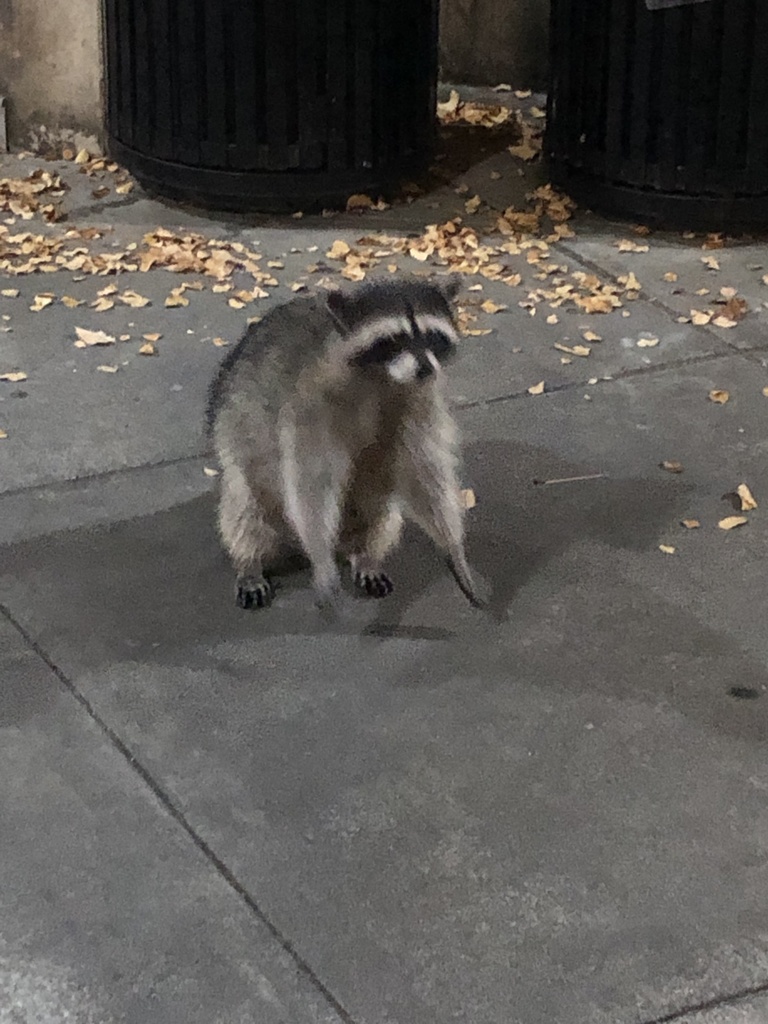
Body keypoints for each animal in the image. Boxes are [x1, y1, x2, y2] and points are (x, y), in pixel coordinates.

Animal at [206, 275, 483, 612]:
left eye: (433, 336)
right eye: (393, 339)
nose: (426, 368)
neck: (384, 378)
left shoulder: (418, 401)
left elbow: (425, 471)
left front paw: (453, 548)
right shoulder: (312, 401)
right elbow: (310, 480)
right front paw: (320, 560)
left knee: (380, 513)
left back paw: (366, 555)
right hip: (238, 443)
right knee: (244, 508)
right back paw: (250, 563)